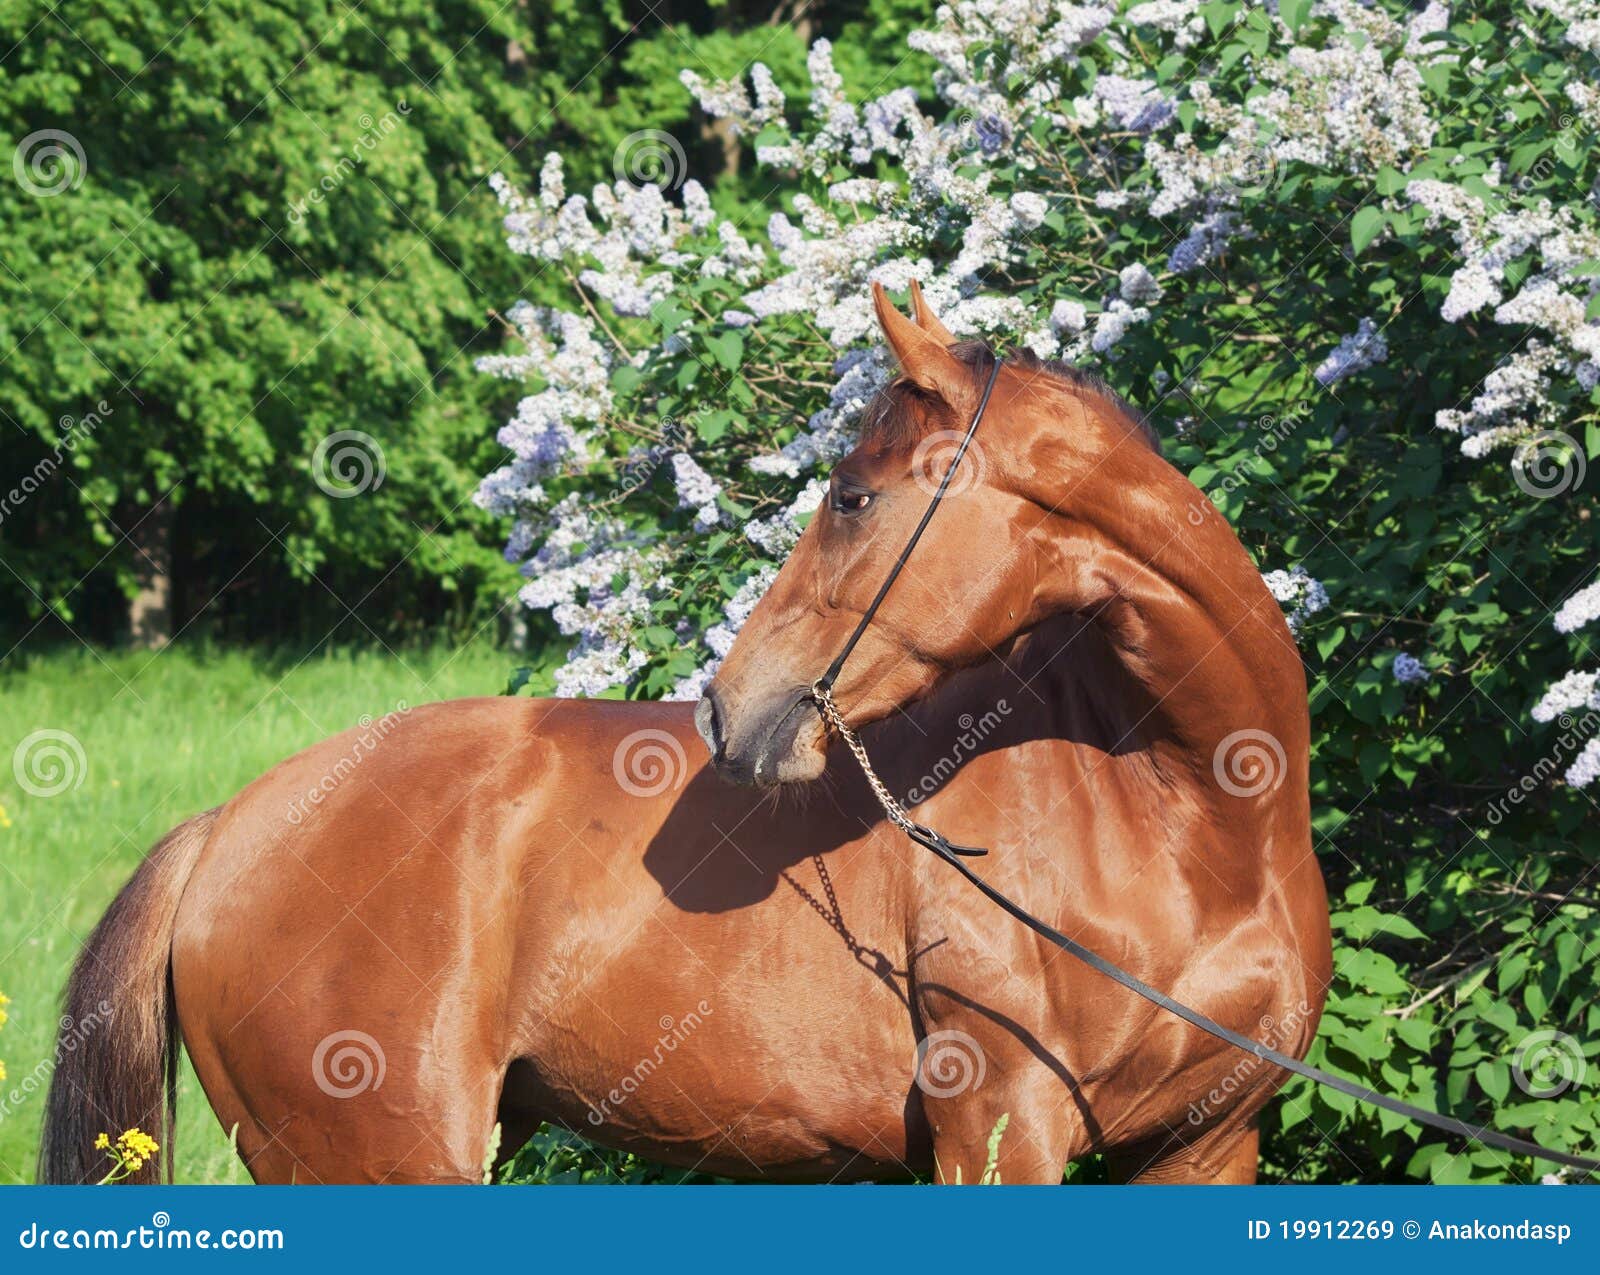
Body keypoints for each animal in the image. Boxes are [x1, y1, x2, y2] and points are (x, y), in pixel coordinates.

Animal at [40, 282, 1330, 1186]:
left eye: (851, 498)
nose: (728, 707)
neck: (1182, 824)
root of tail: (229, 826)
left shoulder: (1204, 1145)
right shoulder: (1001, 1133)